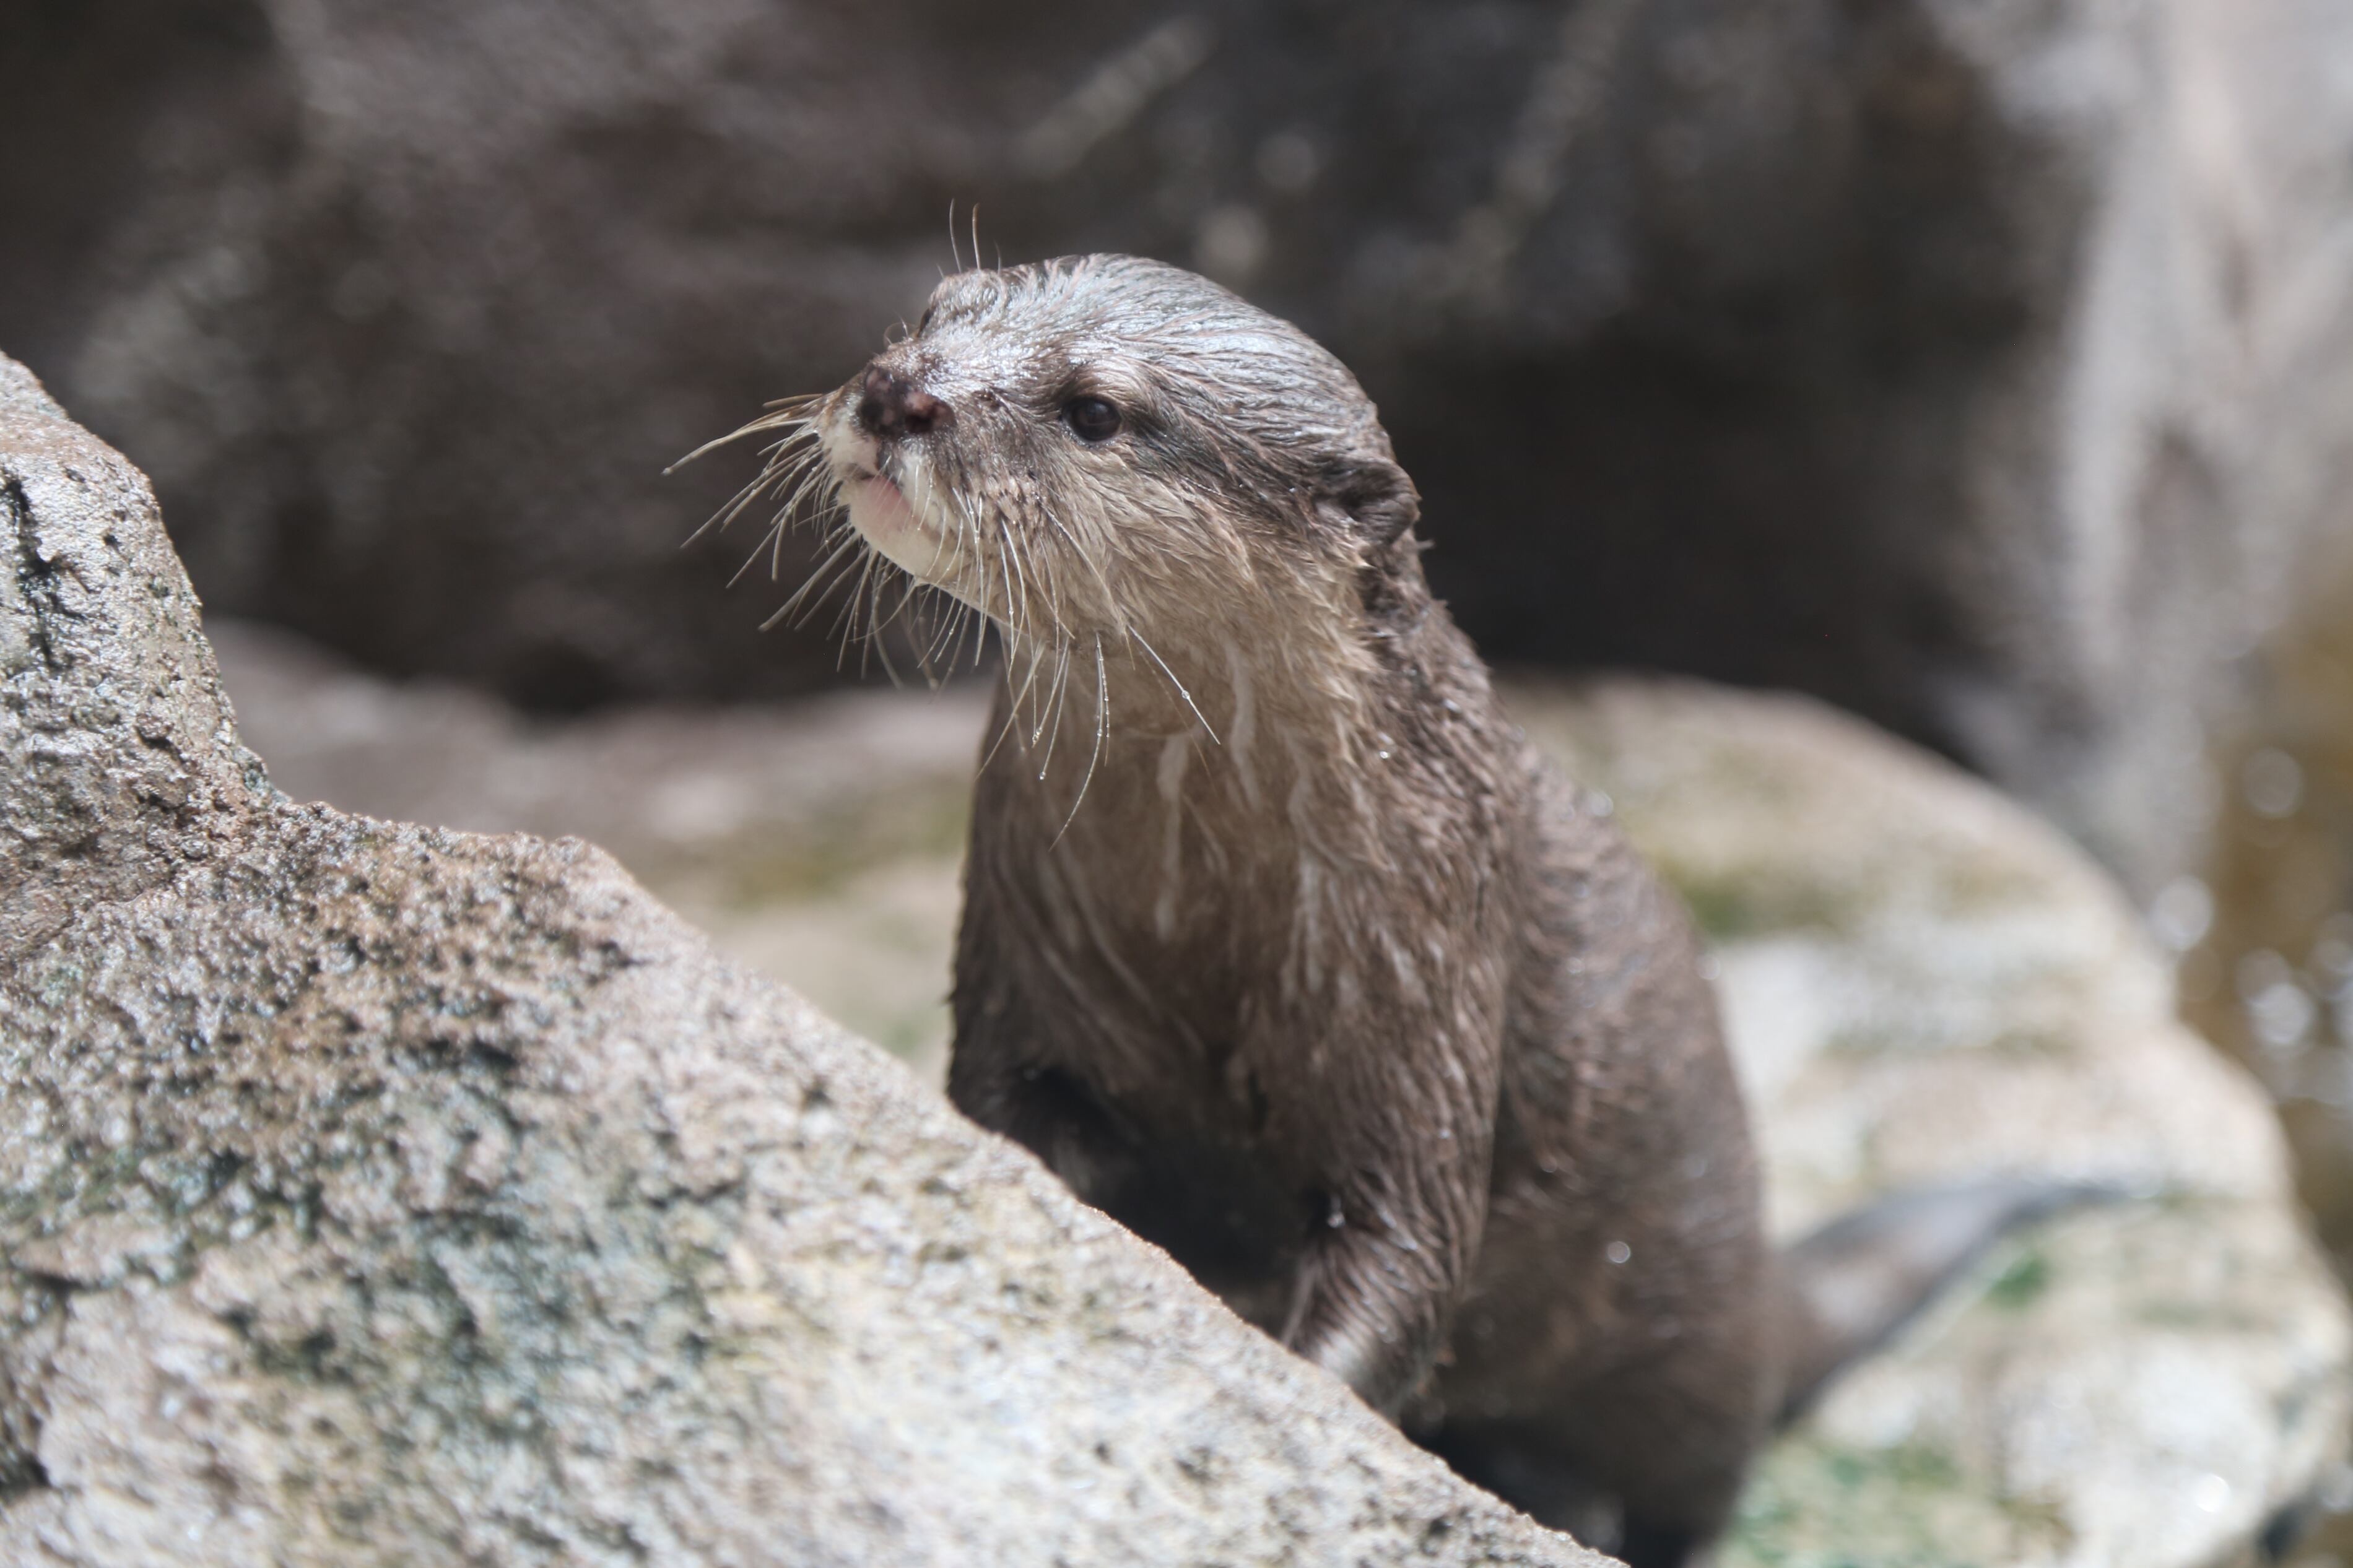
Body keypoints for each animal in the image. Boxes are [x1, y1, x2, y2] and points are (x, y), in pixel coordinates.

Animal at [705, 255, 2074, 1566]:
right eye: (935, 310)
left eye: (1095, 409)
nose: (900, 393)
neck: (1200, 910)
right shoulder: (1026, 961)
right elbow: (1009, 1124)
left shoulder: (1426, 985)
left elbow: (1405, 1252)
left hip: (1687, 1353)